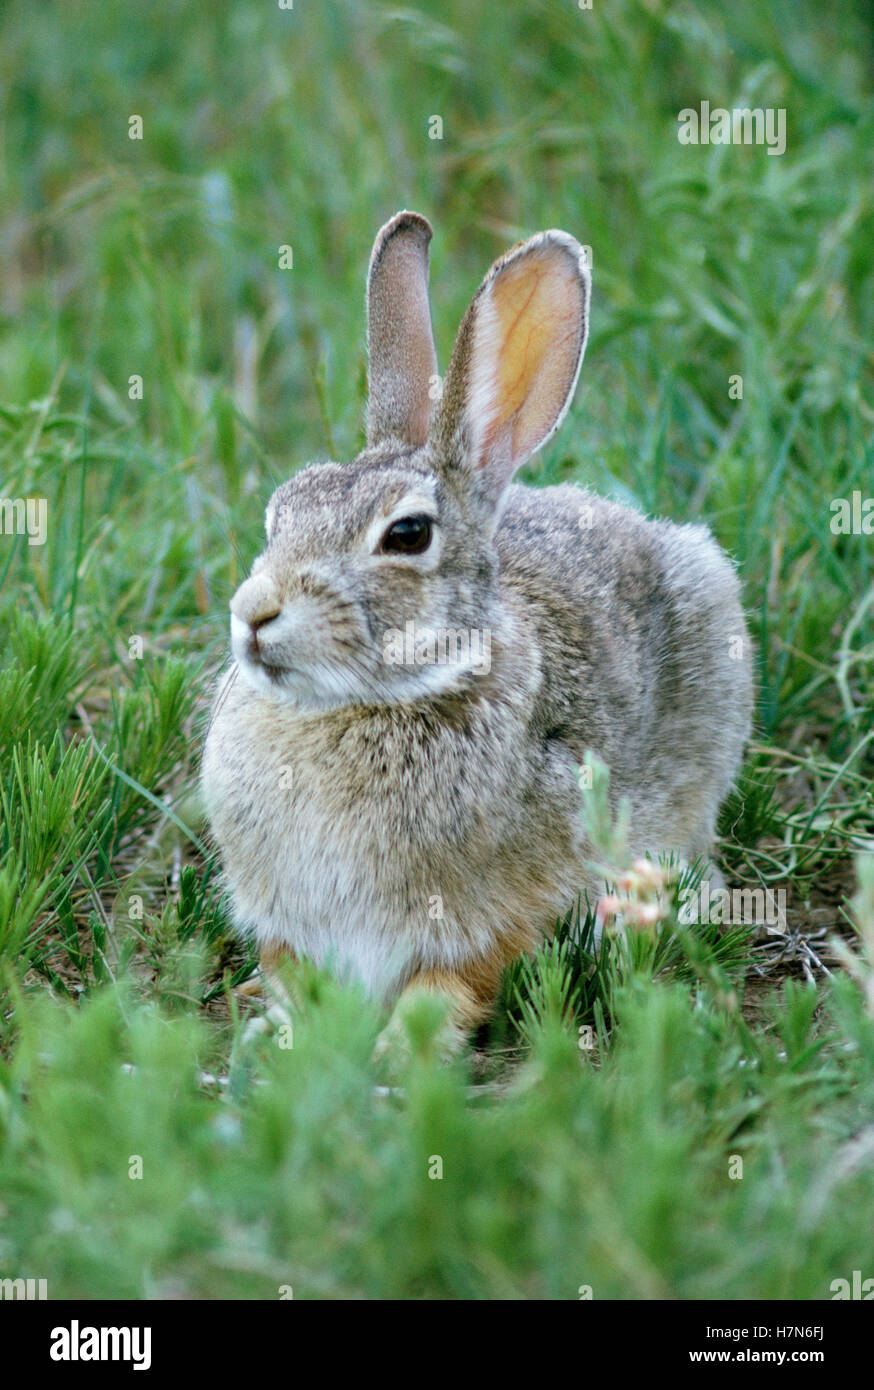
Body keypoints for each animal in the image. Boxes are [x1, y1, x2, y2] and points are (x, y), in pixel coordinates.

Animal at [201, 210, 753, 1060]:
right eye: (281, 513)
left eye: (407, 535)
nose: (253, 613)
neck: (378, 700)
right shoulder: (290, 921)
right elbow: (294, 975)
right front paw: (279, 1035)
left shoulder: (496, 915)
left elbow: (449, 990)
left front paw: (397, 1058)